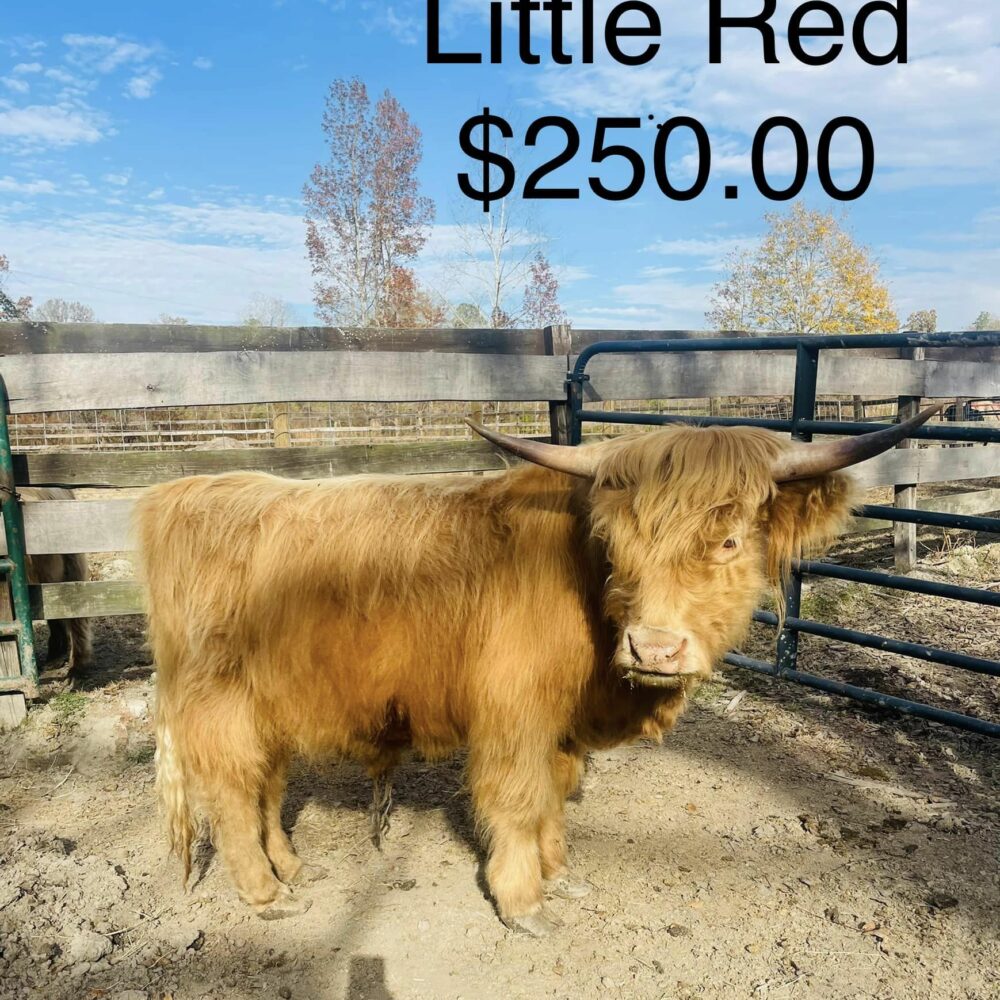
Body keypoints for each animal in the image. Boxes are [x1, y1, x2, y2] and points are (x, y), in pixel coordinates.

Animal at [138, 406, 939, 933]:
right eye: (617, 547)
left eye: (730, 541)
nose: (654, 649)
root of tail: (185, 492)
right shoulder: (513, 712)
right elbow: (519, 799)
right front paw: (522, 900)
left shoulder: (561, 724)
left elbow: (556, 790)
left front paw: (556, 867)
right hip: (220, 703)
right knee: (233, 794)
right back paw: (266, 893)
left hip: (266, 702)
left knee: (265, 787)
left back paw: (290, 866)